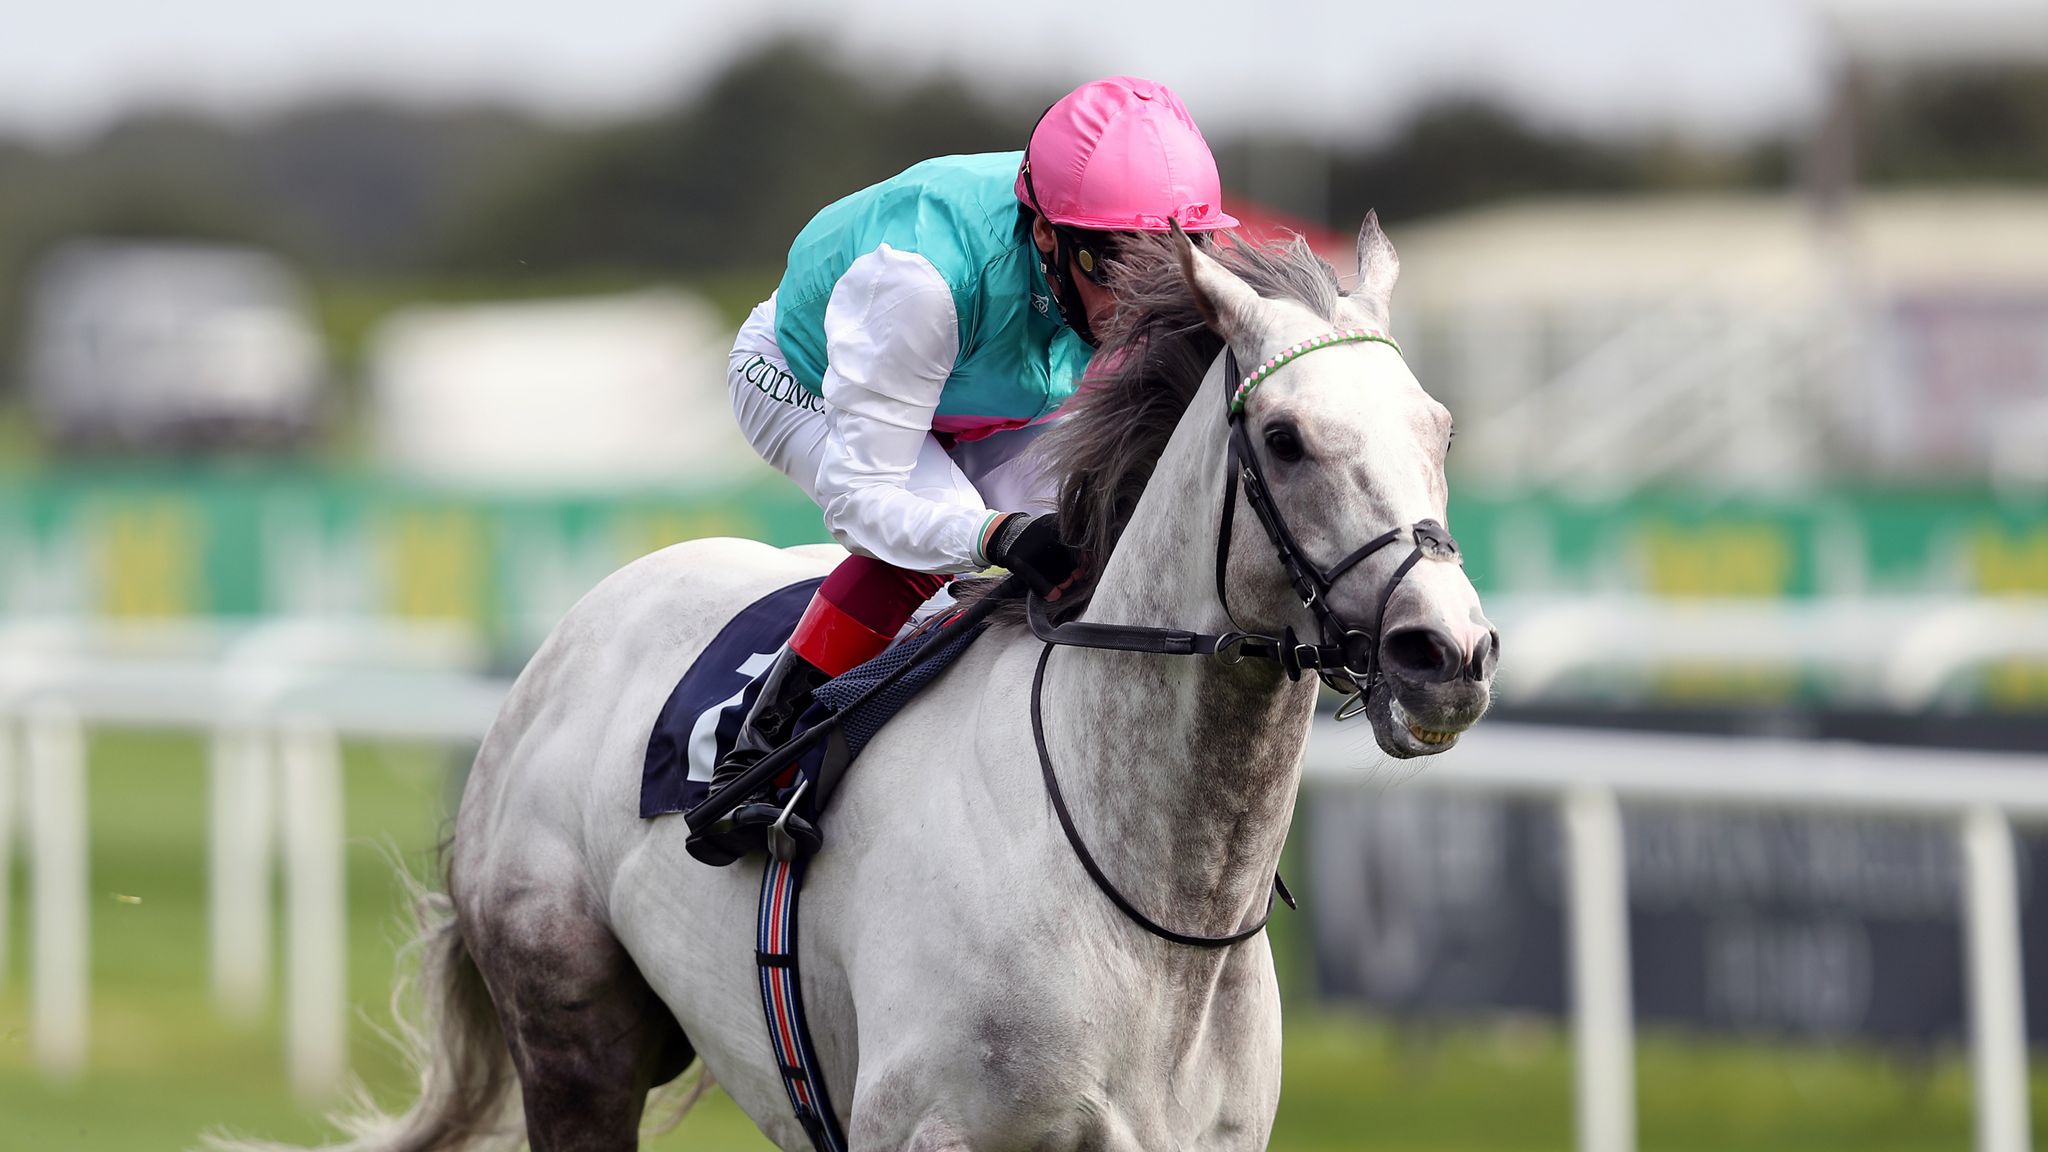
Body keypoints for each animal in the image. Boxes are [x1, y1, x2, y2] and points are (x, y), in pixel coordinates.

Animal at [216, 217, 1496, 1152]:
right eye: (1284, 438)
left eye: (1437, 426)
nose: (1445, 653)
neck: (1145, 909)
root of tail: (571, 636)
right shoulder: (927, 1130)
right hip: (572, 1032)